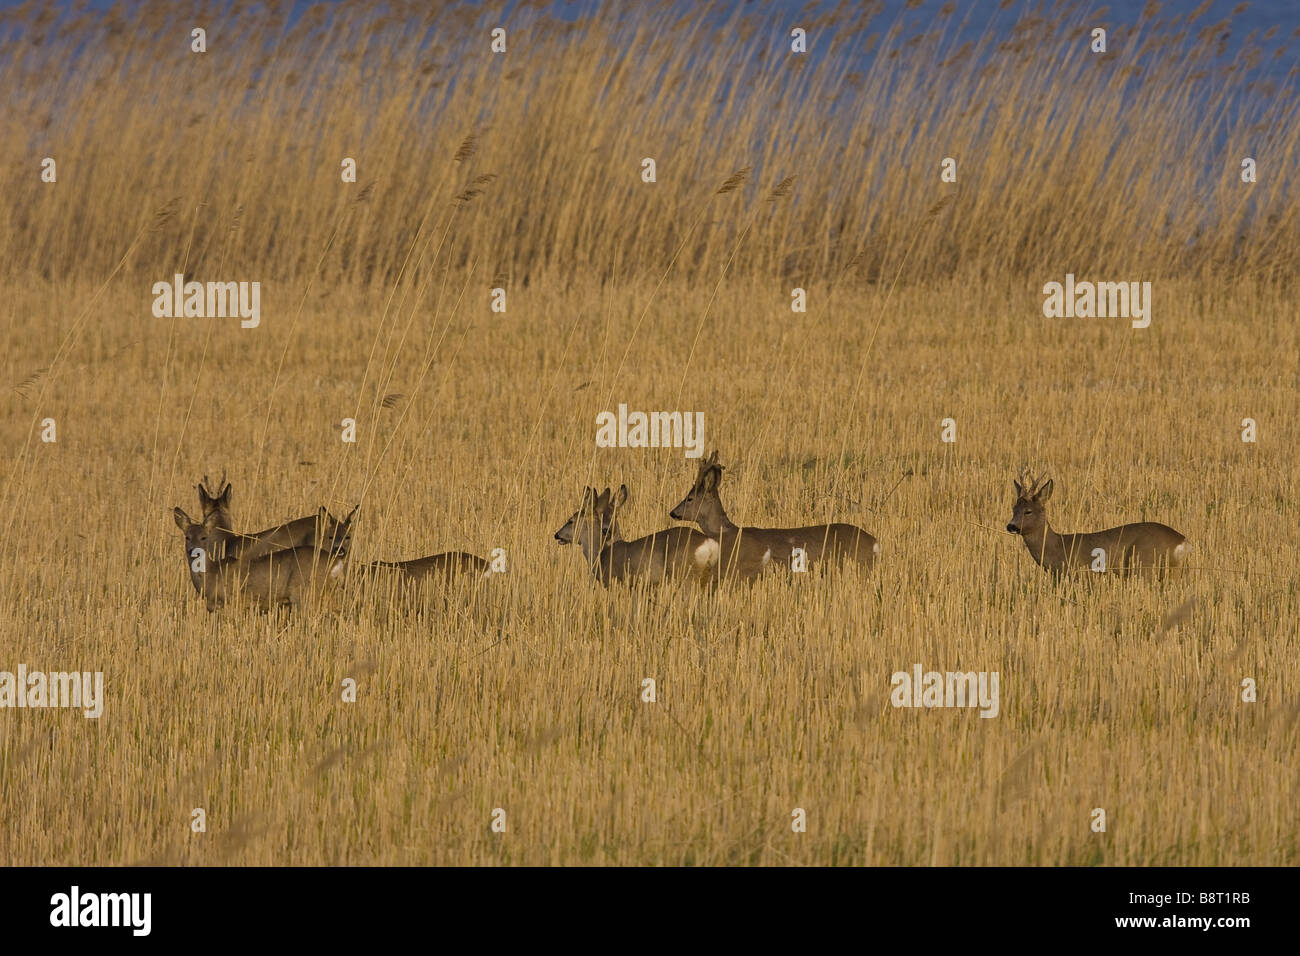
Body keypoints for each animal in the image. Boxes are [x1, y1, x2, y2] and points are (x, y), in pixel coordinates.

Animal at [172, 505, 353, 612]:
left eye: (204, 537)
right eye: (187, 537)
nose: (194, 552)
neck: (211, 573)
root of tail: (336, 562)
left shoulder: (230, 602)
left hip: (304, 593)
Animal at [555, 485, 720, 587]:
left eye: (571, 520)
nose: (557, 535)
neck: (600, 555)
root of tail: (710, 544)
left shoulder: (615, 582)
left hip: (685, 574)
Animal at [1005, 470, 1189, 575]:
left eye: (1028, 511)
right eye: (1014, 508)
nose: (1011, 526)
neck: (1057, 546)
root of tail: (1182, 541)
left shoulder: (1079, 573)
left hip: (1144, 565)